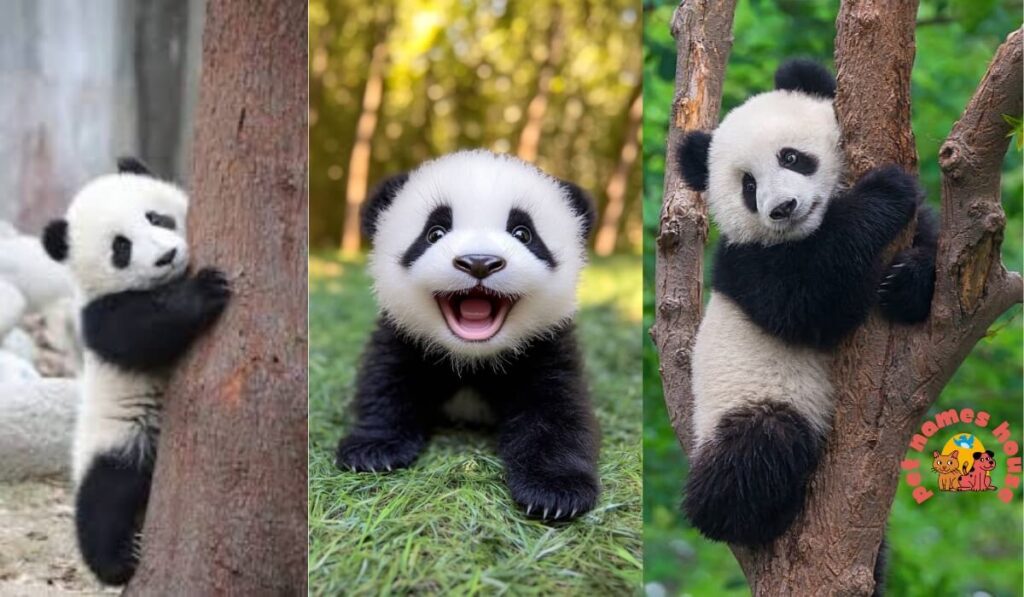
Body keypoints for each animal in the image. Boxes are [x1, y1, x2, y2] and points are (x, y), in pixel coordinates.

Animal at [41, 157, 231, 585]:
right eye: (121, 248)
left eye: (157, 218)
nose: (166, 256)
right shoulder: (97, 318)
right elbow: (139, 331)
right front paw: (203, 292)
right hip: (118, 439)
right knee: (105, 498)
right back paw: (118, 562)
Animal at [335, 149, 601, 521]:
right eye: (434, 232)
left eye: (523, 233)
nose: (479, 262)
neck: (471, 357)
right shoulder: (404, 337)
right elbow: (385, 384)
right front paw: (373, 449)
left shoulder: (545, 345)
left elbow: (557, 410)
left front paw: (556, 491)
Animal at [673, 59, 938, 552]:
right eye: (748, 185)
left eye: (791, 157)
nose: (782, 207)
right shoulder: (747, 263)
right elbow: (809, 304)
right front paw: (885, 192)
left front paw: (907, 281)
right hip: (751, 398)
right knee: (758, 447)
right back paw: (747, 516)